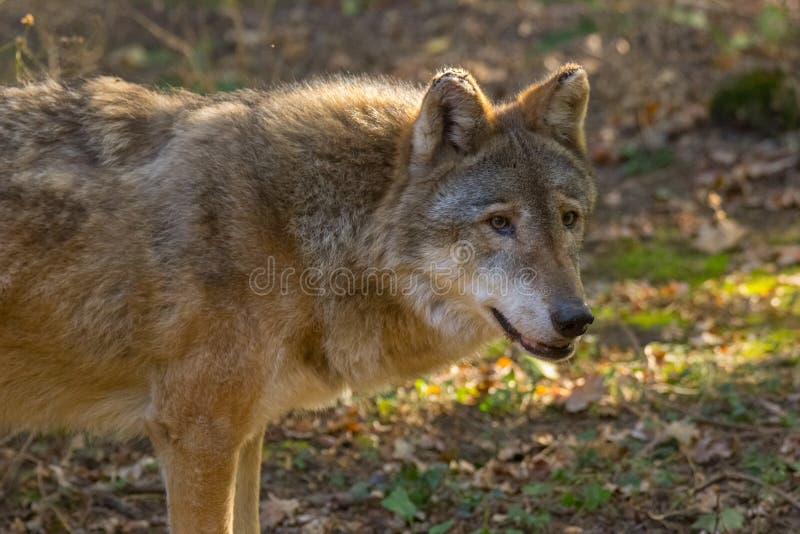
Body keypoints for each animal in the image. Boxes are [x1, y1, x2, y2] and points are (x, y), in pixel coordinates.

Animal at [0, 63, 595, 533]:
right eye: (499, 223)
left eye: (568, 219)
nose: (577, 319)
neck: (297, 235)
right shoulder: (196, 437)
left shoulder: (243, 432)